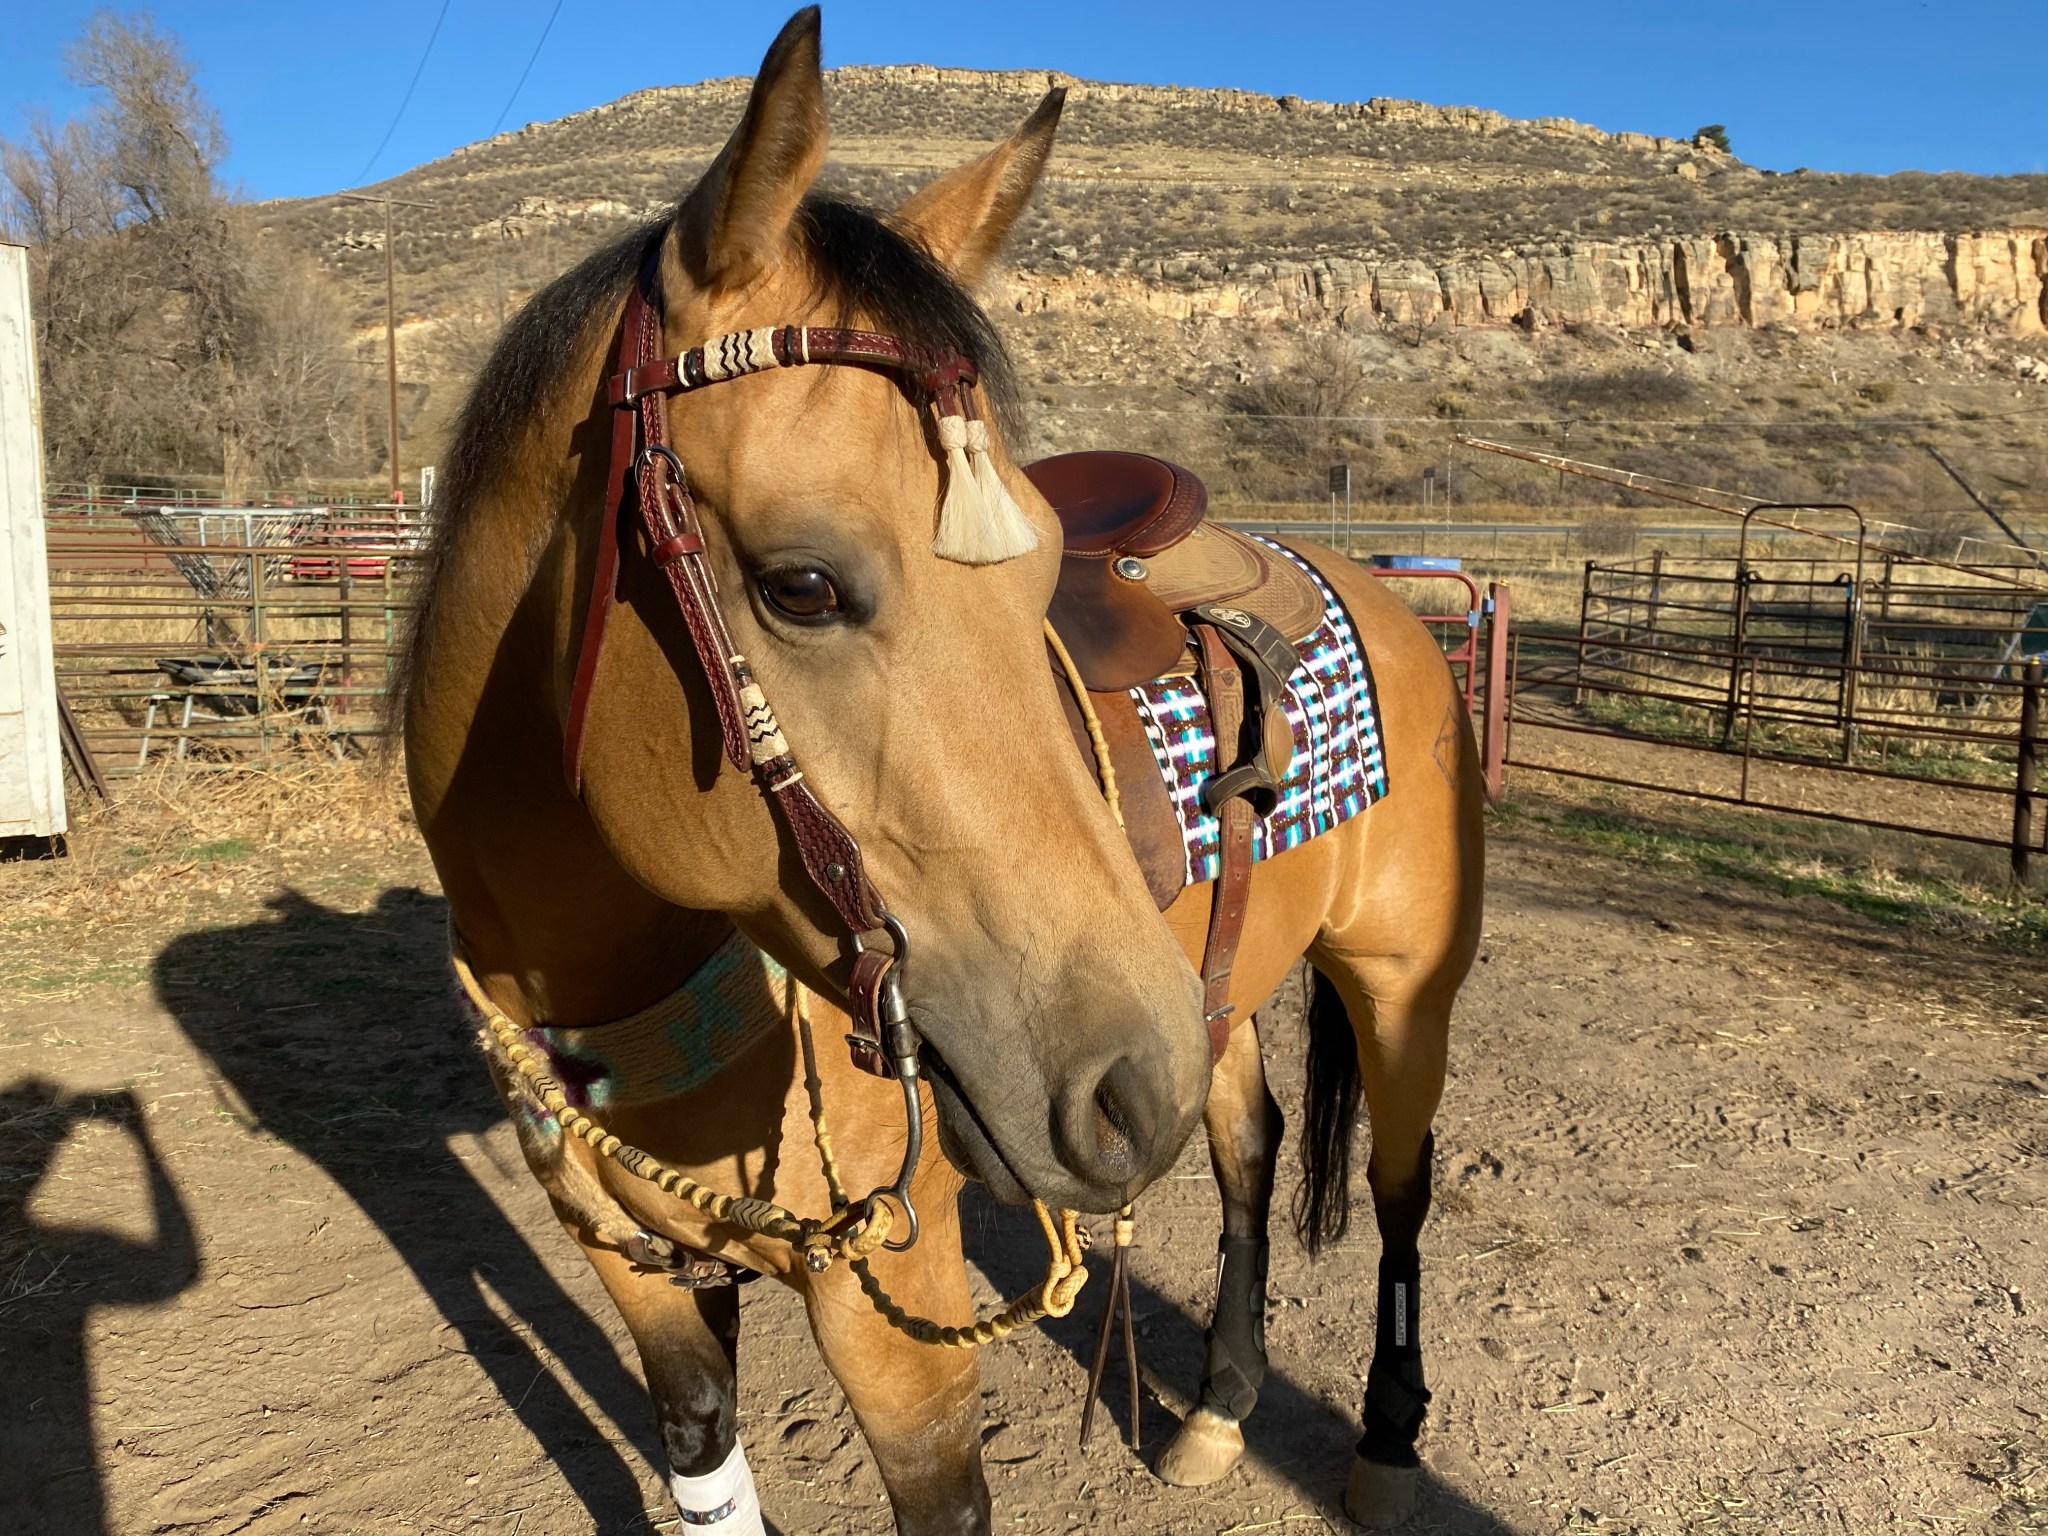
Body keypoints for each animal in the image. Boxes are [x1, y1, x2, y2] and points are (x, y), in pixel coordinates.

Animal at [398, 9, 1482, 1534]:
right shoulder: (637, 1276)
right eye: (800, 585)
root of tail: (1384, 591)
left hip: (1395, 991)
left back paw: (1383, 1441)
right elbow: (701, 1459)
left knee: (1397, 1189)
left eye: (1038, 576)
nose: (1121, 1084)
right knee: (1248, 1143)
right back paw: (1216, 1408)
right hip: (1219, 999)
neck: (620, 999)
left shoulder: (892, 1317)